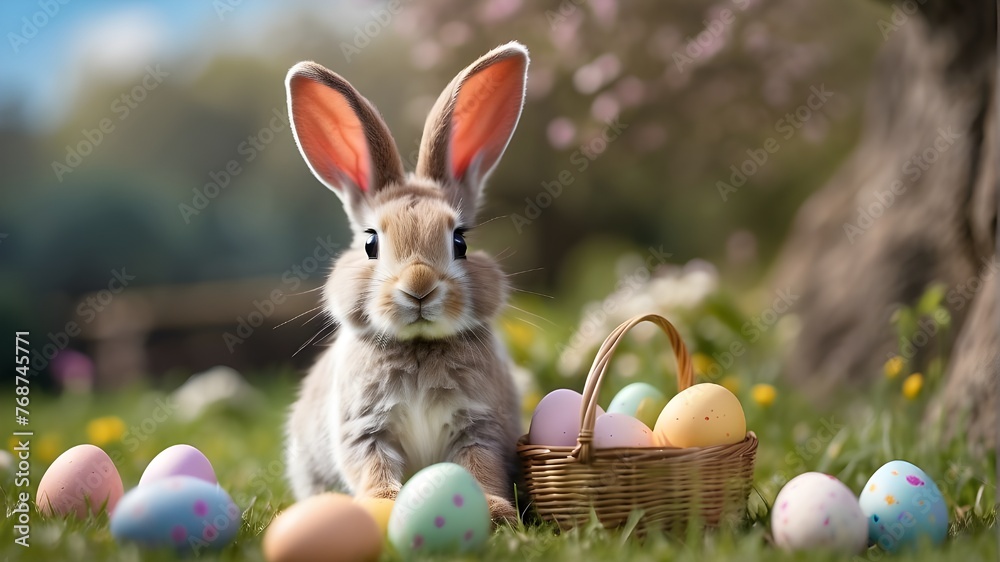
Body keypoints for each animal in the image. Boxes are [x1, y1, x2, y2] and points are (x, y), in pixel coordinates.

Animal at [282, 41, 529, 523]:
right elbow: (372, 467)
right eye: (370, 243)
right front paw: (381, 509)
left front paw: (494, 512)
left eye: (460, 241)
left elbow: (480, 466)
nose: (419, 287)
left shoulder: (480, 427)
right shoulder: (364, 430)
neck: (418, 346)